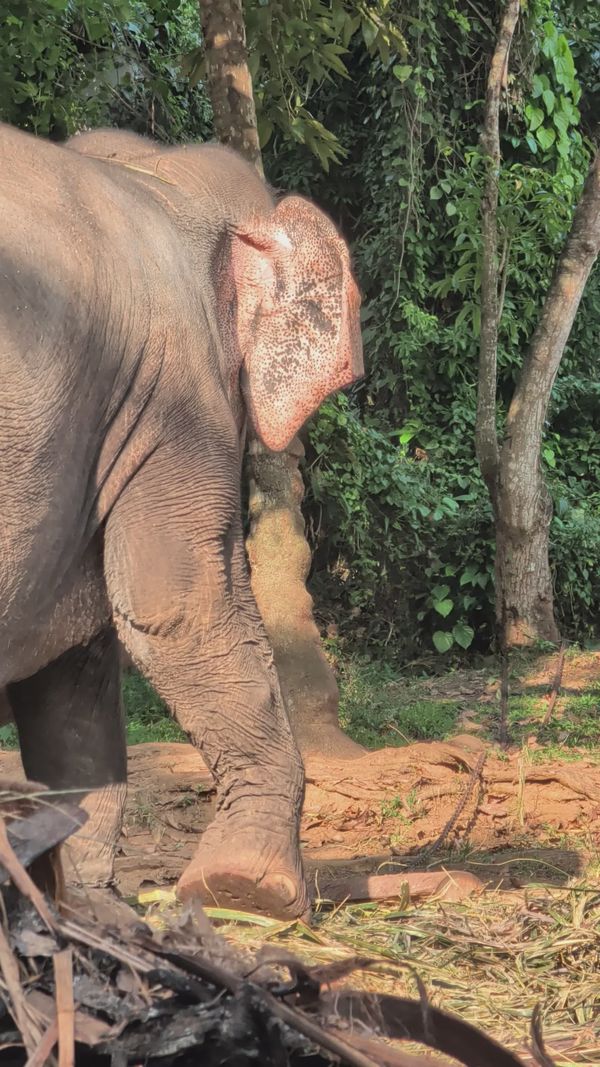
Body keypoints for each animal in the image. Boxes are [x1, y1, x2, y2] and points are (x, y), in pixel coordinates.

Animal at [0, 122, 363, 919]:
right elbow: (176, 604)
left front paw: (81, 901)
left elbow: (76, 664)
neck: (163, 175)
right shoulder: (174, 394)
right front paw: (249, 890)